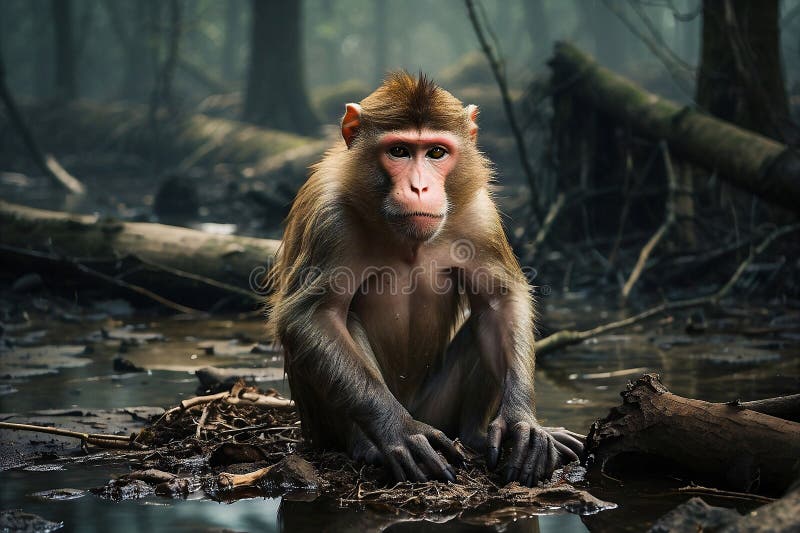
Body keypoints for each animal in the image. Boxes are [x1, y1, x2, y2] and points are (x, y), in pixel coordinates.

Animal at [268, 72, 584, 486]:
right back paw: (369, 445)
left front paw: (522, 422)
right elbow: (311, 317)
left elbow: (499, 301)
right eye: (400, 151)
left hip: (437, 411)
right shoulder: (328, 217)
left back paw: (475, 435)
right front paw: (399, 430)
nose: (419, 187)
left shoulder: (480, 214)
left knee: (482, 321)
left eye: (435, 153)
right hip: (328, 426)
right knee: (340, 319)